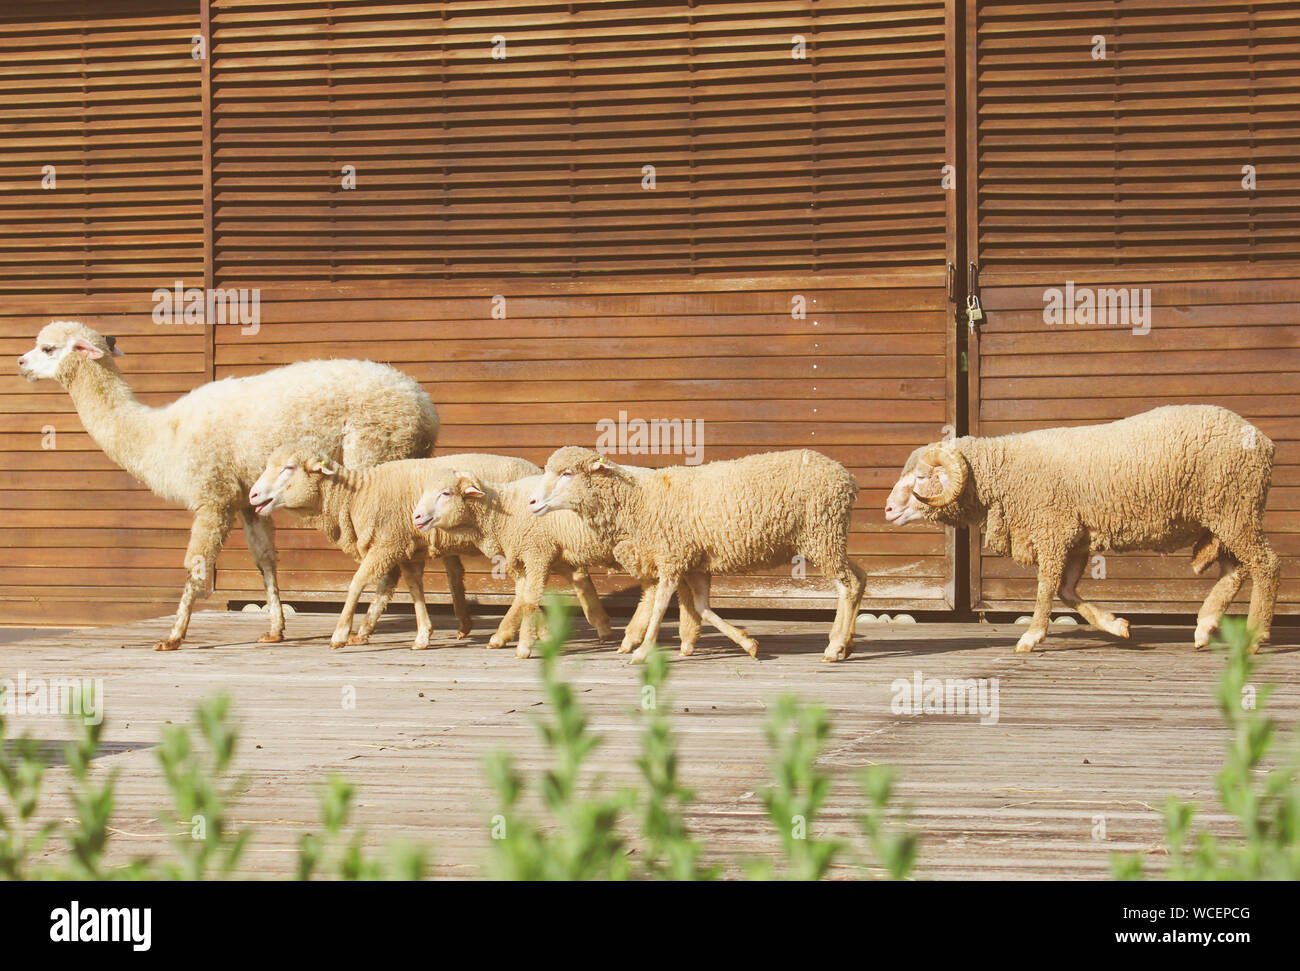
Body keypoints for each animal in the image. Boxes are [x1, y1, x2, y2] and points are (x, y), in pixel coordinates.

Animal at [17, 320, 438, 651]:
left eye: (47, 348)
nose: (20, 363)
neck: (163, 436)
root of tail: (426, 406)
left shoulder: (212, 495)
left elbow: (196, 564)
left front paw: (173, 637)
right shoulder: (247, 499)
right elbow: (265, 558)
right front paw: (274, 630)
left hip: (375, 452)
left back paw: (362, 631)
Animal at [248, 449, 542, 649]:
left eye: (288, 467)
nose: (252, 495)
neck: (355, 496)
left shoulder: (386, 545)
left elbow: (357, 583)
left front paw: (340, 634)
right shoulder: (404, 547)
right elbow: (414, 589)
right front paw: (423, 635)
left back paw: (507, 634)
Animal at [412, 469, 703, 658]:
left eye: (445, 493)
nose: (415, 517)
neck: (503, 511)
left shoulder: (537, 552)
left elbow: (529, 599)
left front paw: (523, 645)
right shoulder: (538, 556)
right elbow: (525, 597)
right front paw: (539, 635)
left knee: (661, 588)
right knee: (664, 588)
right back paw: (656, 639)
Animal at [528, 447, 866, 662]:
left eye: (567, 473)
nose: (531, 502)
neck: (637, 501)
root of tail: (847, 479)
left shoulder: (671, 557)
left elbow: (661, 605)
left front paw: (642, 651)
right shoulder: (693, 563)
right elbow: (702, 607)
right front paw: (748, 643)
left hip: (821, 532)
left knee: (847, 584)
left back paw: (834, 647)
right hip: (830, 537)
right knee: (860, 577)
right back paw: (846, 643)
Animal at [883, 405, 1279, 653]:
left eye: (921, 478)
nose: (887, 509)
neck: (1004, 475)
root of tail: (1263, 441)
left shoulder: (1052, 530)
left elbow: (1046, 589)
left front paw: (1031, 637)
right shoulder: (1074, 538)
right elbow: (1067, 592)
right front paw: (1116, 625)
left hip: (1235, 509)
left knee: (1266, 565)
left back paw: (1255, 635)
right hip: (1227, 515)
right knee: (1236, 570)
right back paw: (1205, 625)